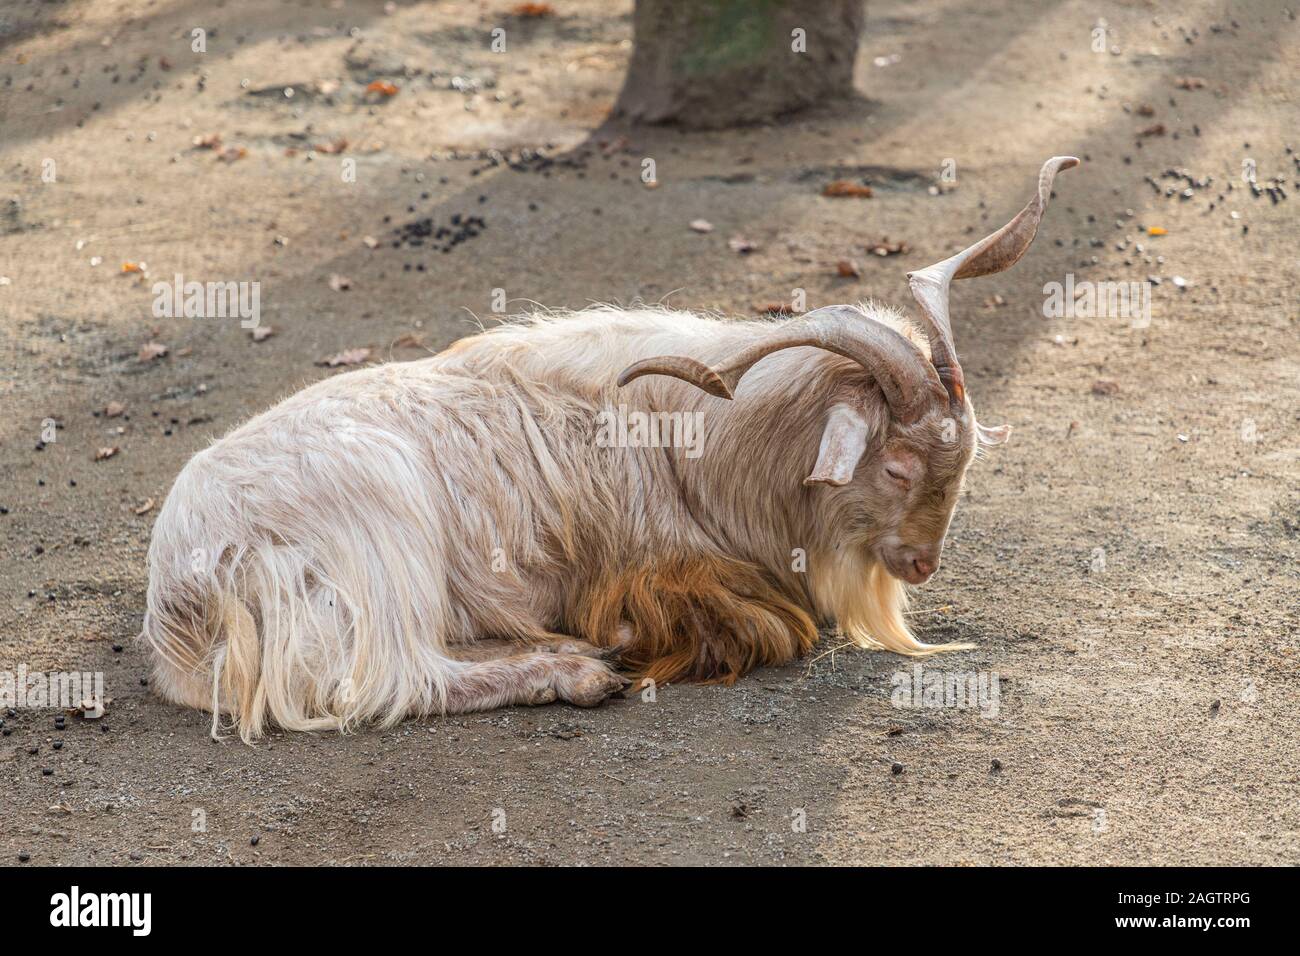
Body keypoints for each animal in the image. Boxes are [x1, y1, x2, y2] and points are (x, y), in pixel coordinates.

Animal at [140, 156, 1078, 740]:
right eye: (897, 463)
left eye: (964, 465)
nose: (922, 563)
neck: (701, 448)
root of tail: (184, 593)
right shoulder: (654, 565)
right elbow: (766, 627)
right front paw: (622, 645)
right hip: (384, 521)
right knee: (389, 681)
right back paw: (577, 672)